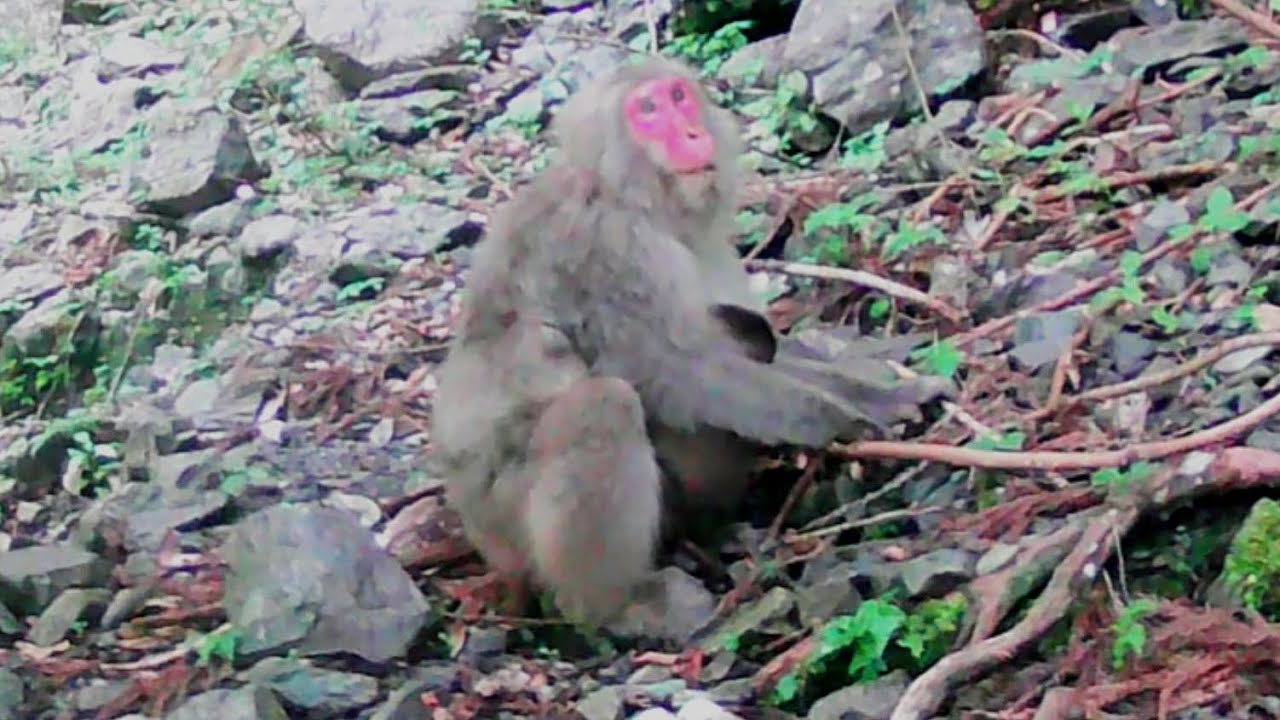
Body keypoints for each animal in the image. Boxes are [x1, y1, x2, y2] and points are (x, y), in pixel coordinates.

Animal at [431, 56, 950, 631]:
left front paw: (879, 391)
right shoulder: (609, 247)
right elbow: (680, 372)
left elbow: (744, 348)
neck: (632, 198)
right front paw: (847, 418)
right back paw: (611, 604)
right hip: (505, 516)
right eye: (647, 110)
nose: (691, 133)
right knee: (604, 405)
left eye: (678, 96)